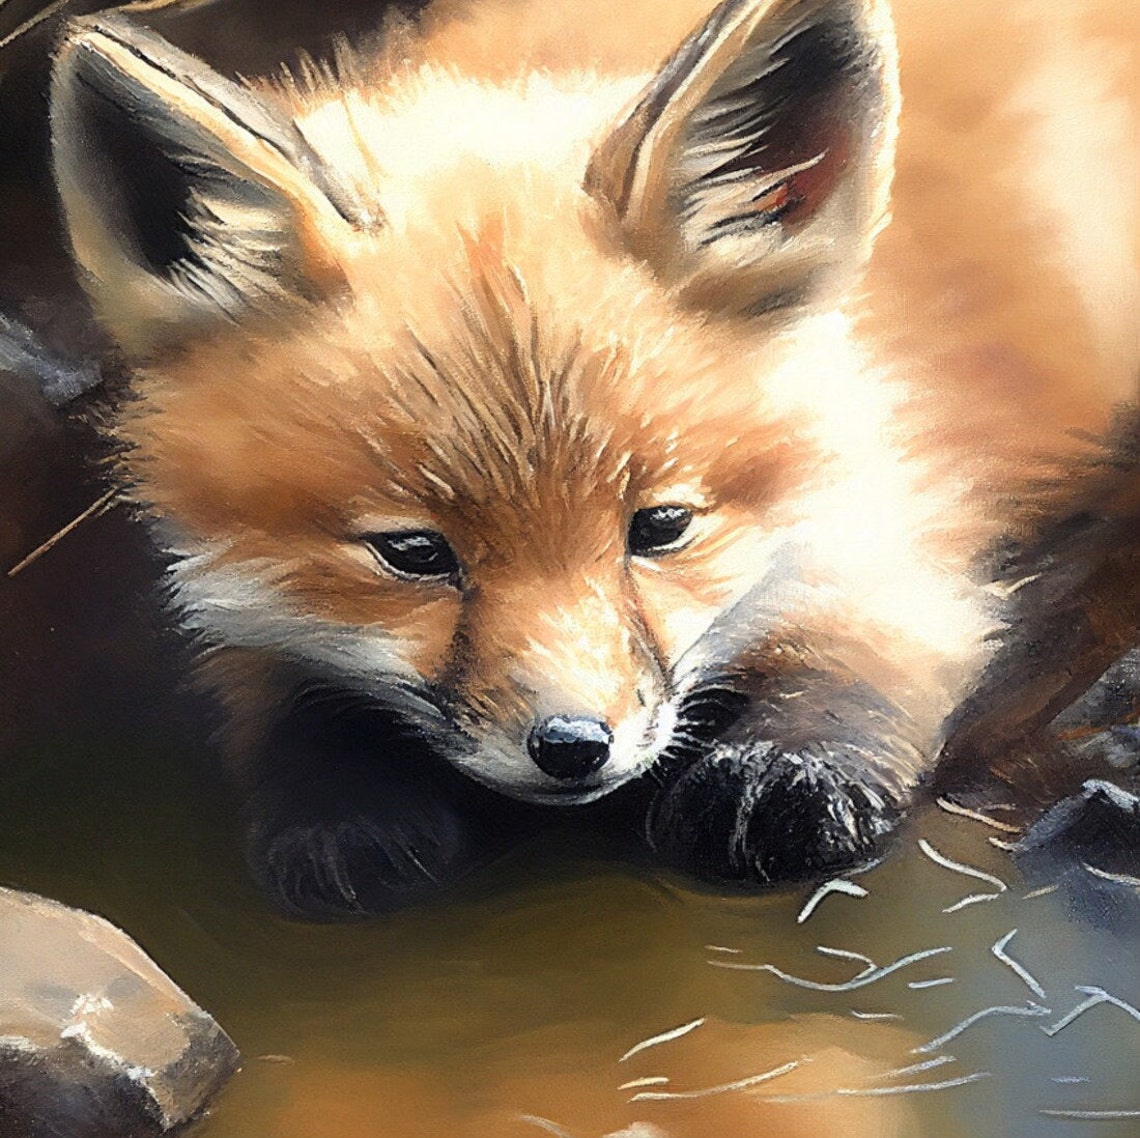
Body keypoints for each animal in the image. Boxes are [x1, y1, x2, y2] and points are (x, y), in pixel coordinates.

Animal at [47, 0, 1137, 917]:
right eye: (413, 553)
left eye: (662, 527)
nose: (572, 749)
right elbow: (277, 694)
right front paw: (339, 800)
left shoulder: (889, 517)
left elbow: (889, 648)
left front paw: (785, 768)